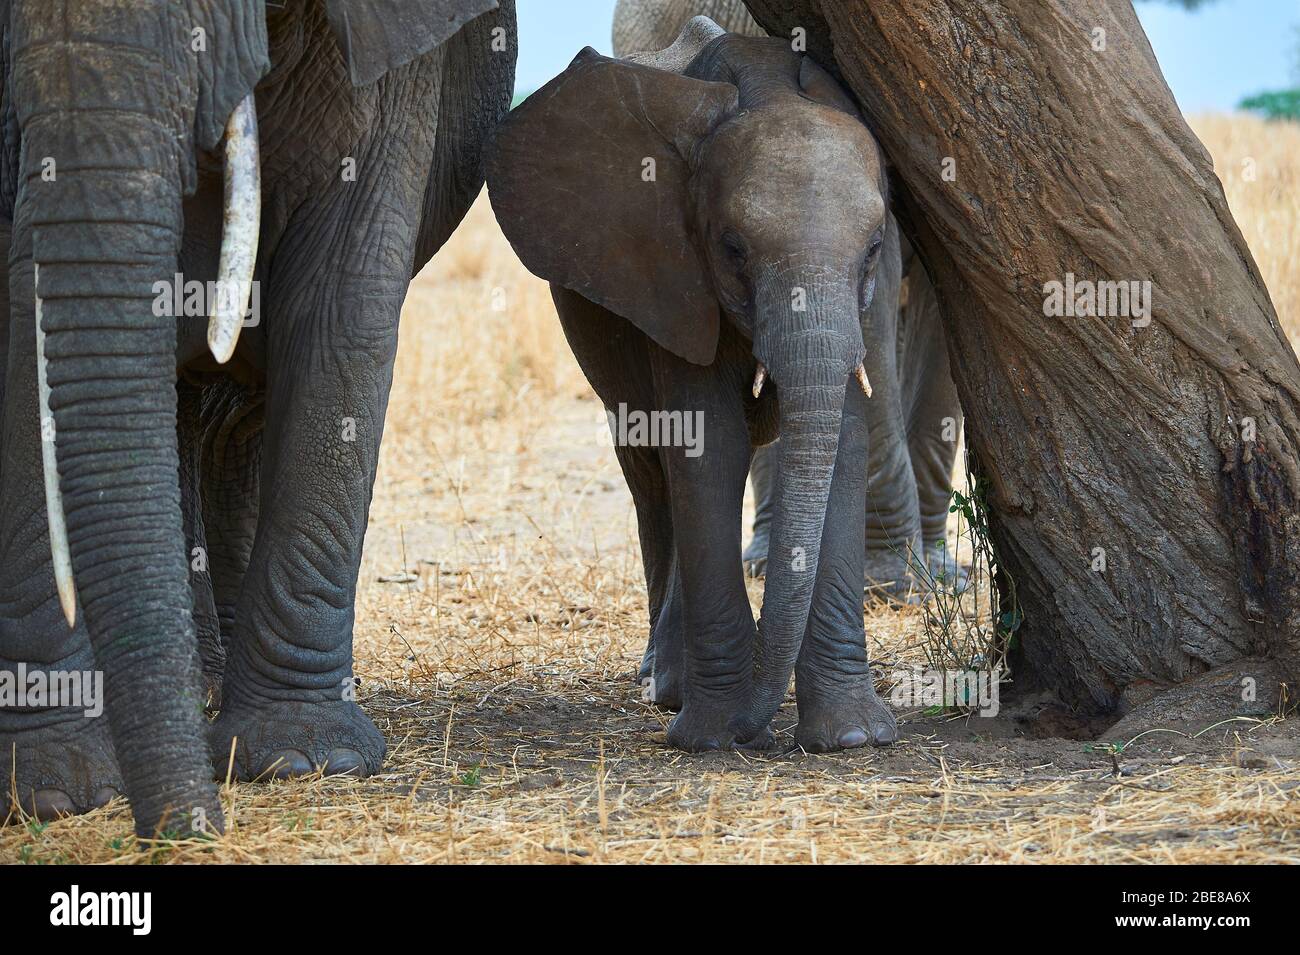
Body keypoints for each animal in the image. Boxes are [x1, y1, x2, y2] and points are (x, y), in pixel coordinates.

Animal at [487, 17, 905, 752]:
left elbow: (844, 447)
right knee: (649, 470)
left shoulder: (868, 301)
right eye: (733, 250)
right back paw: (667, 685)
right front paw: (710, 736)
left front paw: (852, 738)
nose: (753, 731)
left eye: (874, 249)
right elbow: (708, 450)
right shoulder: (672, 275)